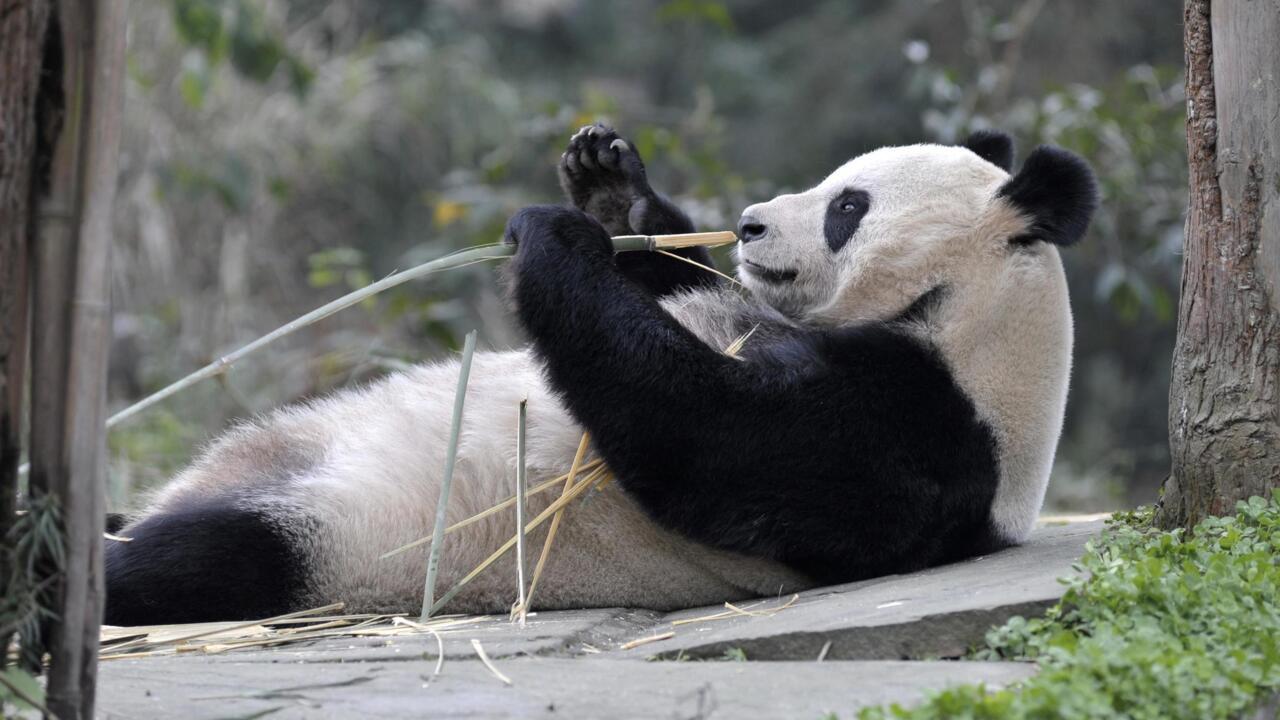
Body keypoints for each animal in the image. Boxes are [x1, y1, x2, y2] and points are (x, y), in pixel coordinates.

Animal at [104, 125, 1096, 625]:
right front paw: (609, 187)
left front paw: (556, 237)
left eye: (848, 208)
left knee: (200, 558)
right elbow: (673, 286)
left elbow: (711, 442)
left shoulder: (920, 430)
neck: (972, 322)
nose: (750, 224)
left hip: (348, 537)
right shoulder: (763, 315)